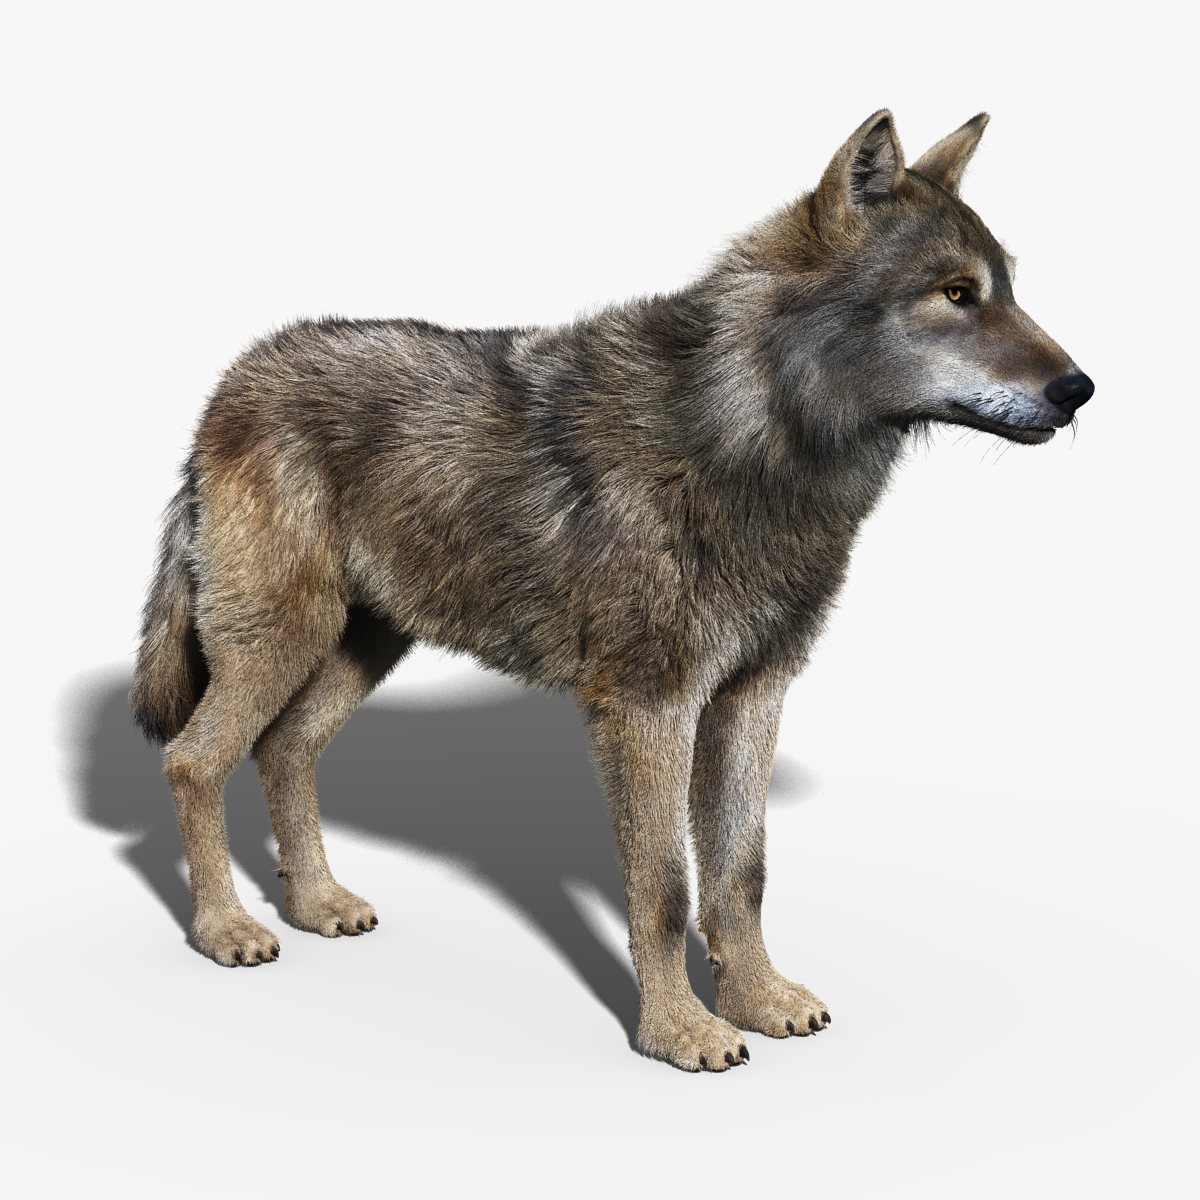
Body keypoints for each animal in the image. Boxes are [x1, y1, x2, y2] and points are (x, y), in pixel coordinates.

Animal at [131, 110, 1092, 1071]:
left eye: (1005, 289)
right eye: (956, 294)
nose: (1080, 389)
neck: (753, 438)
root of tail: (232, 382)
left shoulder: (753, 694)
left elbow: (741, 873)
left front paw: (760, 1000)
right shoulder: (647, 708)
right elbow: (665, 888)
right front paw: (678, 1034)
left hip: (361, 647)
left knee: (283, 749)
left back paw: (317, 904)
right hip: (283, 642)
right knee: (191, 759)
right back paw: (226, 930)